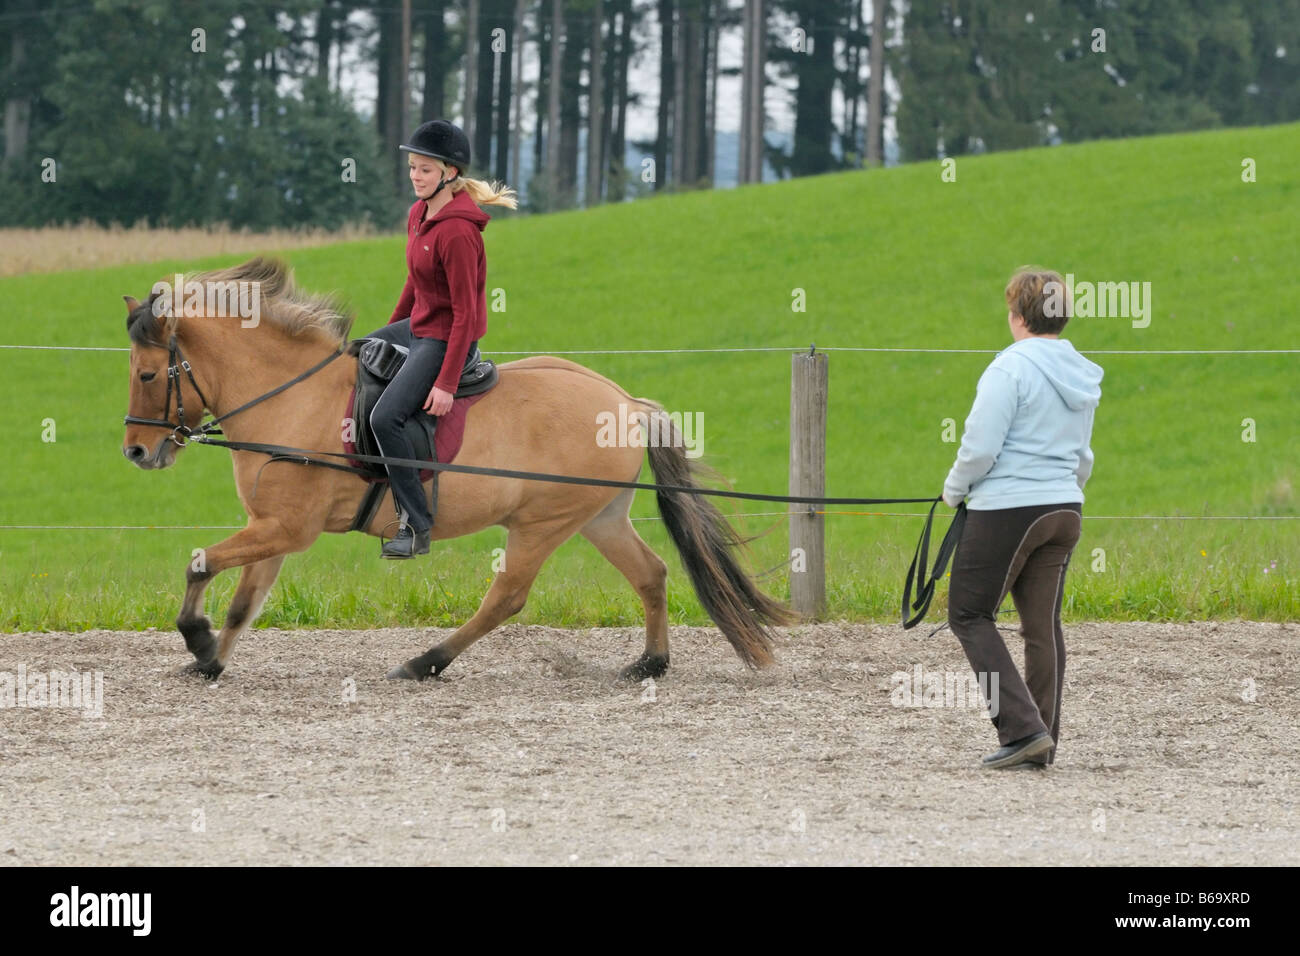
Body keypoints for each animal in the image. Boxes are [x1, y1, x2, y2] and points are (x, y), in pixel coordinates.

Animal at [119, 257, 794, 682]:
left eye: (148, 374)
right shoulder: (273, 527)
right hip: (599, 515)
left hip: (541, 522)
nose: (136, 453)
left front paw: (196, 636)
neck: (292, 397)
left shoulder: (287, 528)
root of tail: (626, 402)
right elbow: (243, 602)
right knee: (651, 574)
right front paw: (210, 659)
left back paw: (426, 662)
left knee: (508, 597)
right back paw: (649, 664)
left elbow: (200, 562)